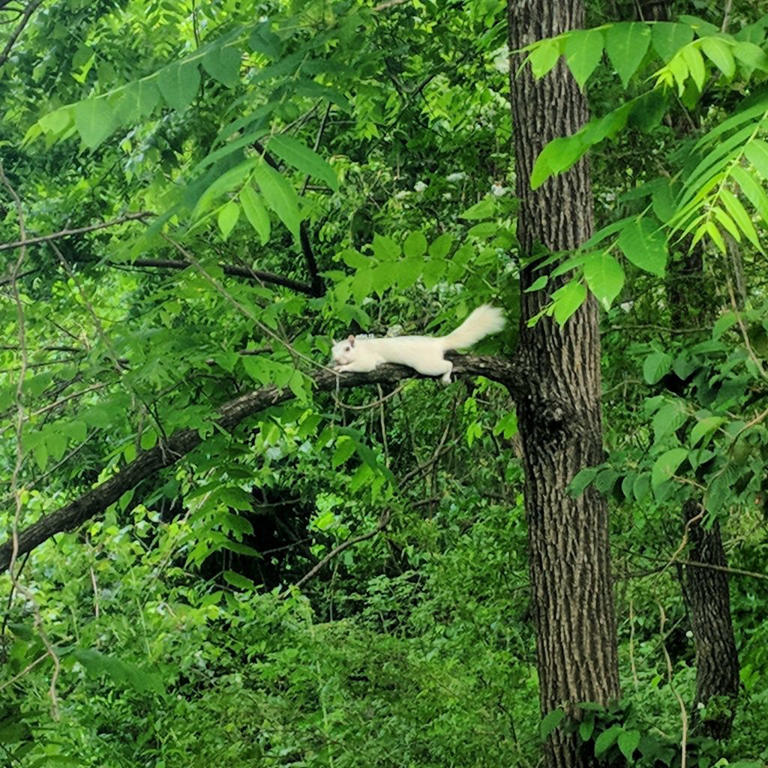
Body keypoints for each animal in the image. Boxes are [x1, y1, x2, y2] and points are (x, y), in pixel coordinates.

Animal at [331, 305, 505, 383]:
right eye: (333, 351)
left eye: (347, 349)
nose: (337, 359)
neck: (361, 347)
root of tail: (439, 342)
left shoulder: (368, 357)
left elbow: (363, 366)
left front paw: (342, 367)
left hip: (426, 365)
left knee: (447, 364)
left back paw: (446, 378)